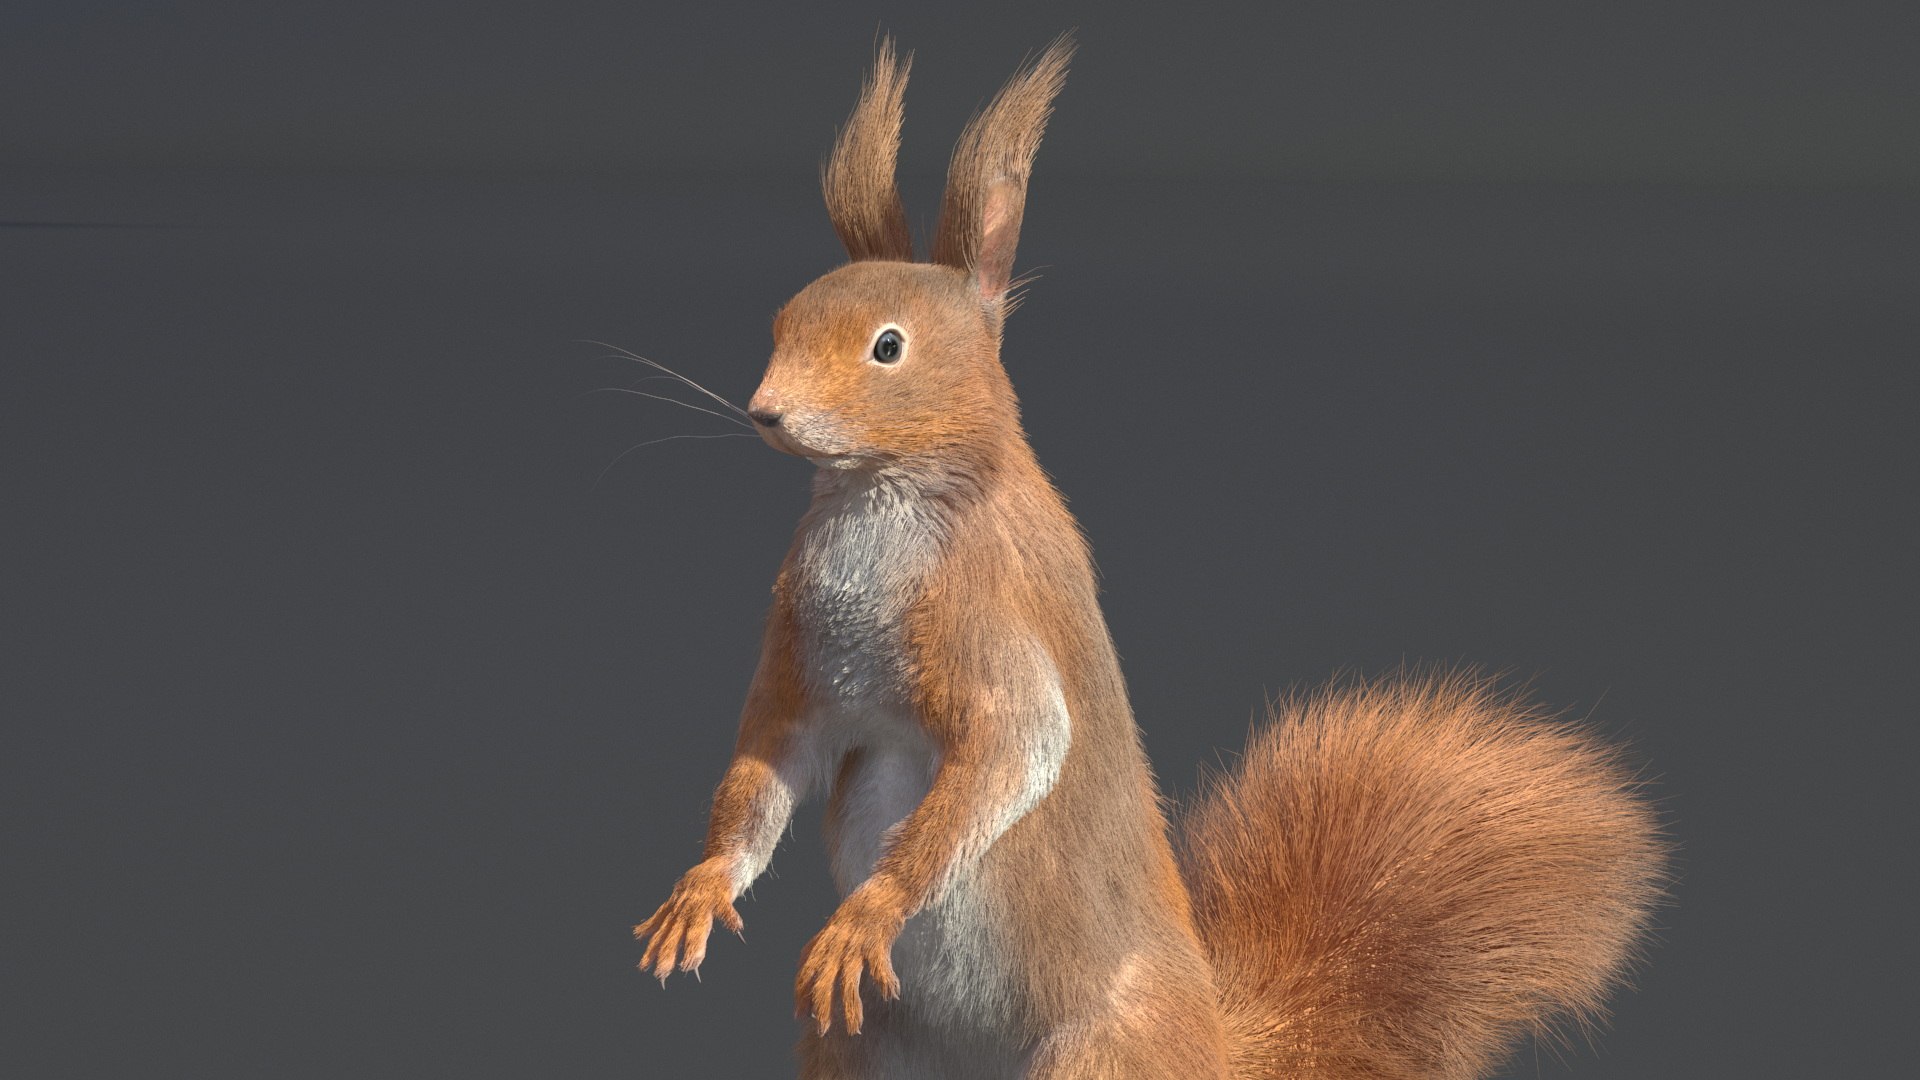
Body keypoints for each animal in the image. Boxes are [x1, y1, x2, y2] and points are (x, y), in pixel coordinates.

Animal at [633, 36, 1666, 1080]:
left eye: (889, 347)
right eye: (782, 320)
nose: (766, 412)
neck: (876, 500)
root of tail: (1208, 1040)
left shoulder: (986, 622)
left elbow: (1018, 746)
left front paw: (866, 914)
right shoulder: (801, 668)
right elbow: (767, 771)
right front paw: (699, 889)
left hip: (1097, 1051)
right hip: (859, 1046)